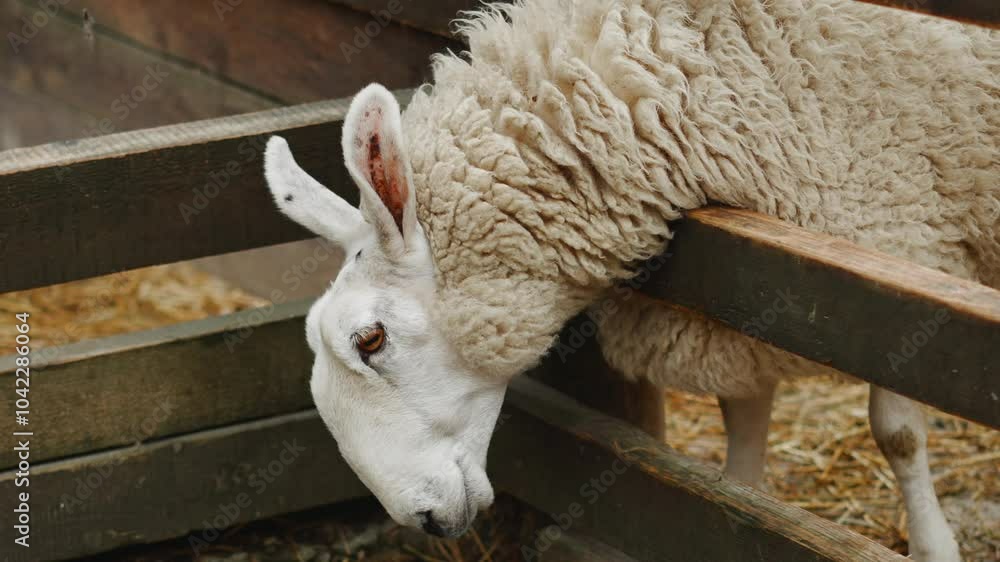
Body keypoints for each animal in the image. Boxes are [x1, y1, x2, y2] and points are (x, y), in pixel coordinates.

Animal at [262, 0, 998, 559]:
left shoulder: (897, 243)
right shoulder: (742, 300)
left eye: (371, 339)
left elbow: (897, 429)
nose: (422, 520)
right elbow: (743, 437)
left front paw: (933, 547)